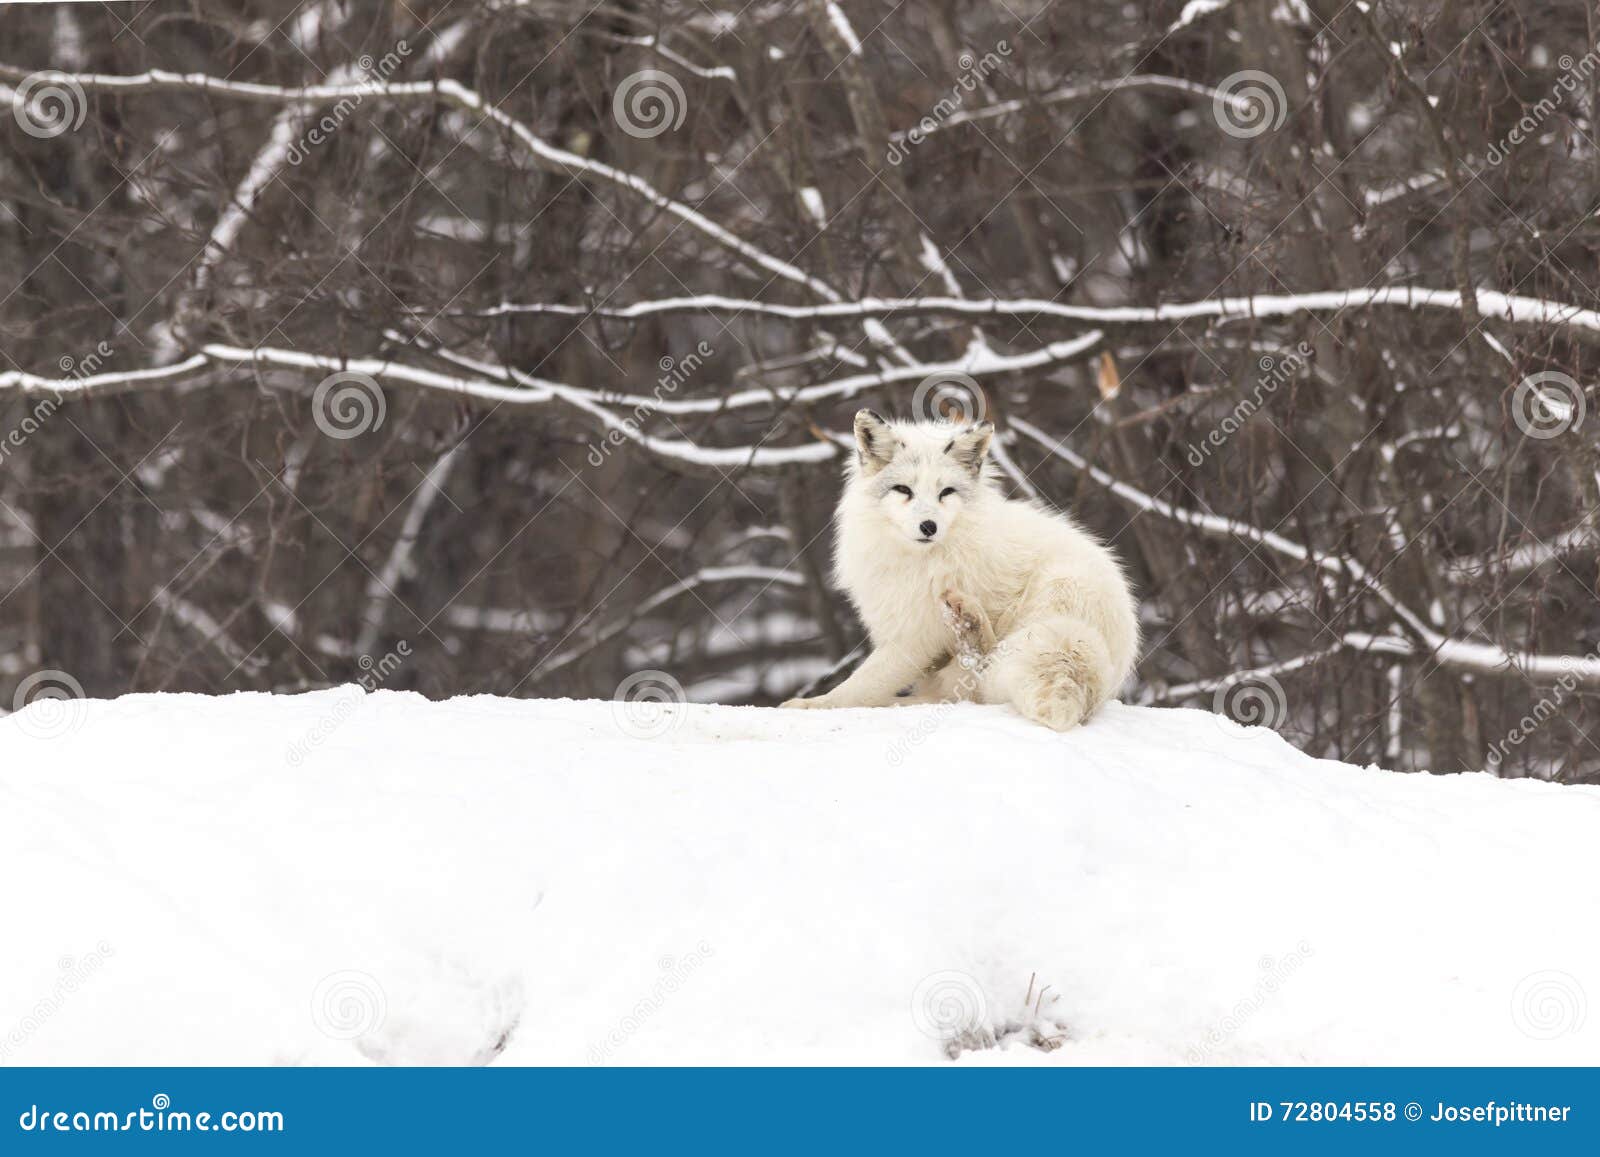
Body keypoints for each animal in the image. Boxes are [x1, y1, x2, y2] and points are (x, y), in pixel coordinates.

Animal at [781, 410, 1139, 730]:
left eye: (946, 492)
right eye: (903, 490)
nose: (929, 526)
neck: (924, 562)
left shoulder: (915, 636)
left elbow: (862, 684)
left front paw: (814, 705)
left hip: (1052, 601)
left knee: (977, 684)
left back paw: (968, 623)